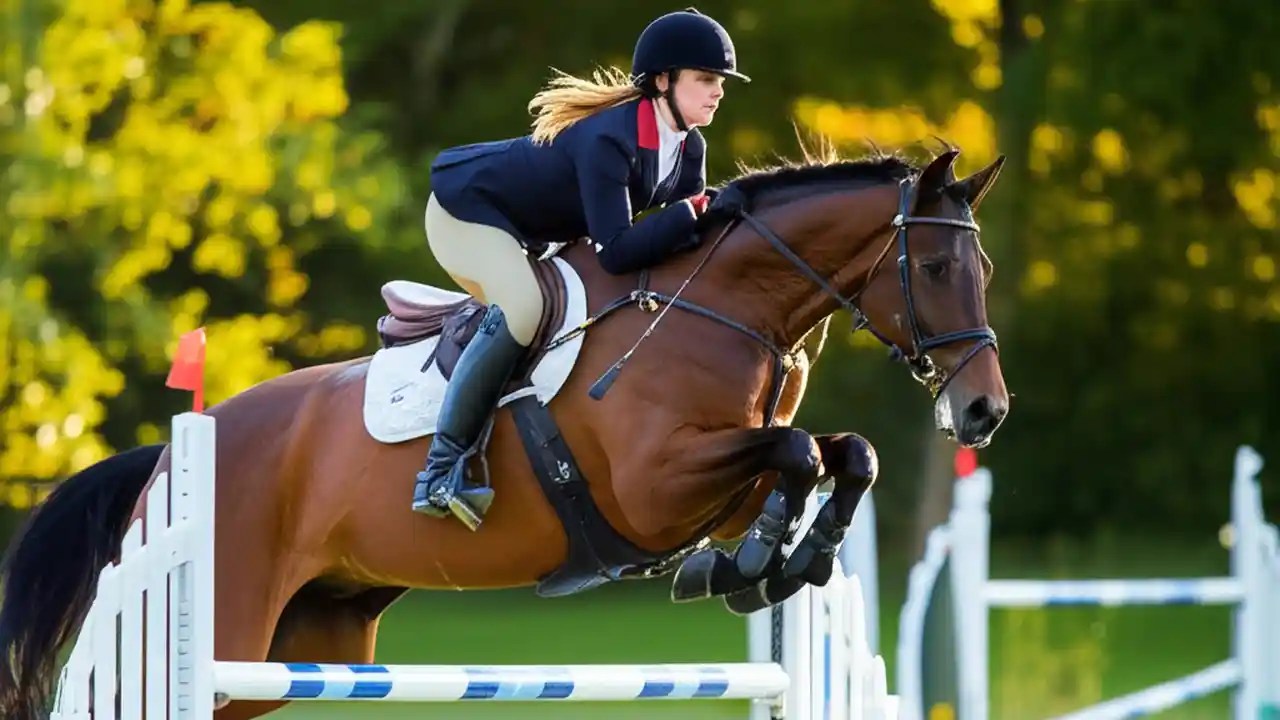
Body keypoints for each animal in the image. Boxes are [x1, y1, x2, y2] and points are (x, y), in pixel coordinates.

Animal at [0, 146, 1009, 719]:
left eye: (984, 268)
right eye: (931, 266)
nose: (983, 412)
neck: (719, 308)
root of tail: (175, 453)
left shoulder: (715, 479)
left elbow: (840, 455)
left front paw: (774, 562)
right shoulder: (653, 488)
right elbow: (797, 453)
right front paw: (762, 561)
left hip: (302, 645)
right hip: (229, 626)